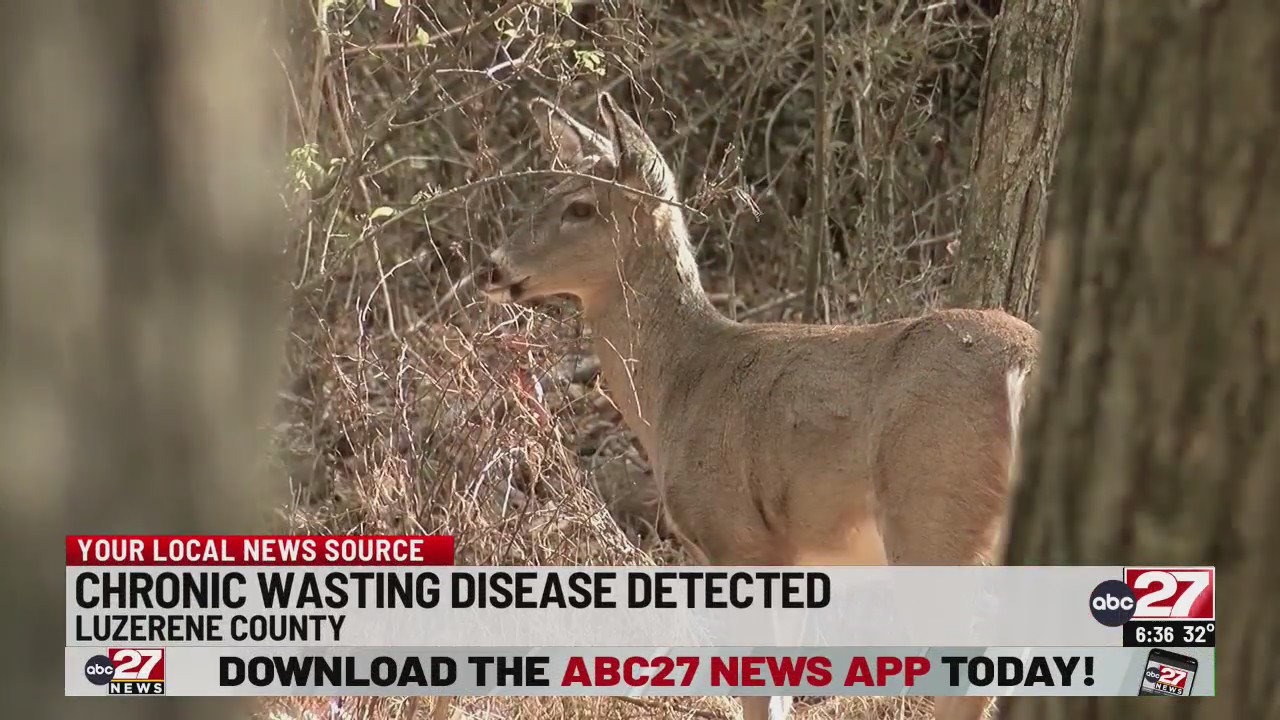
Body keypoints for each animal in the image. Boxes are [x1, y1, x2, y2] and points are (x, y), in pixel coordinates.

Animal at [469, 92, 1040, 720]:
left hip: (935, 513)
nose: (491, 266)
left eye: (580, 207)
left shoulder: (737, 536)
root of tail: (1023, 366)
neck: (680, 387)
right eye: (547, 192)